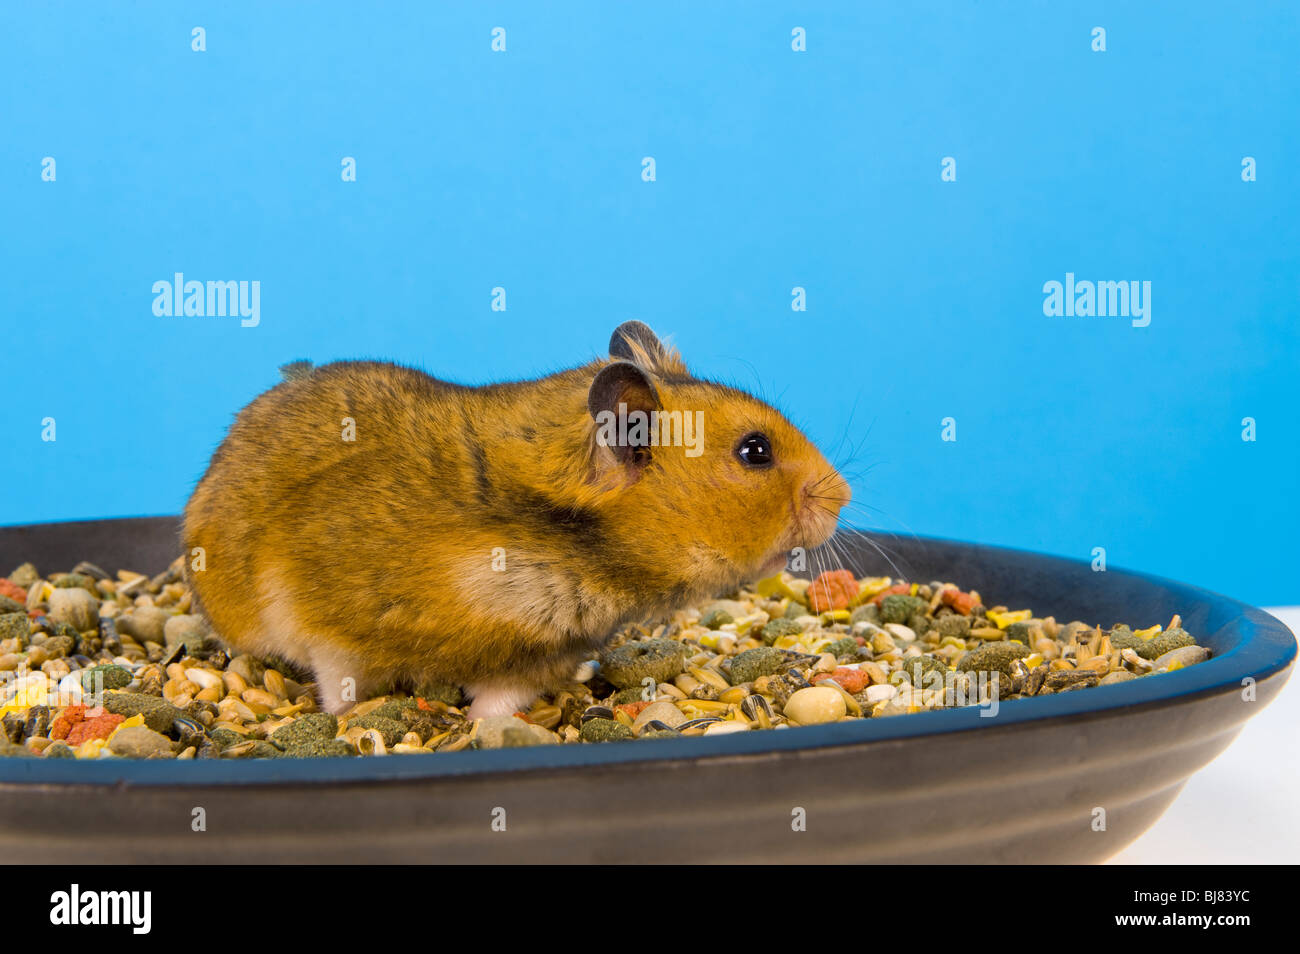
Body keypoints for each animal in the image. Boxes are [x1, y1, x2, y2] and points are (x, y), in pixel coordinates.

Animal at [182, 322, 851, 718]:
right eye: (755, 451)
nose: (844, 496)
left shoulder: (540, 655)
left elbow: (501, 701)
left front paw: (484, 729)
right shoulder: (327, 623)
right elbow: (339, 682)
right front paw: (347, 722)